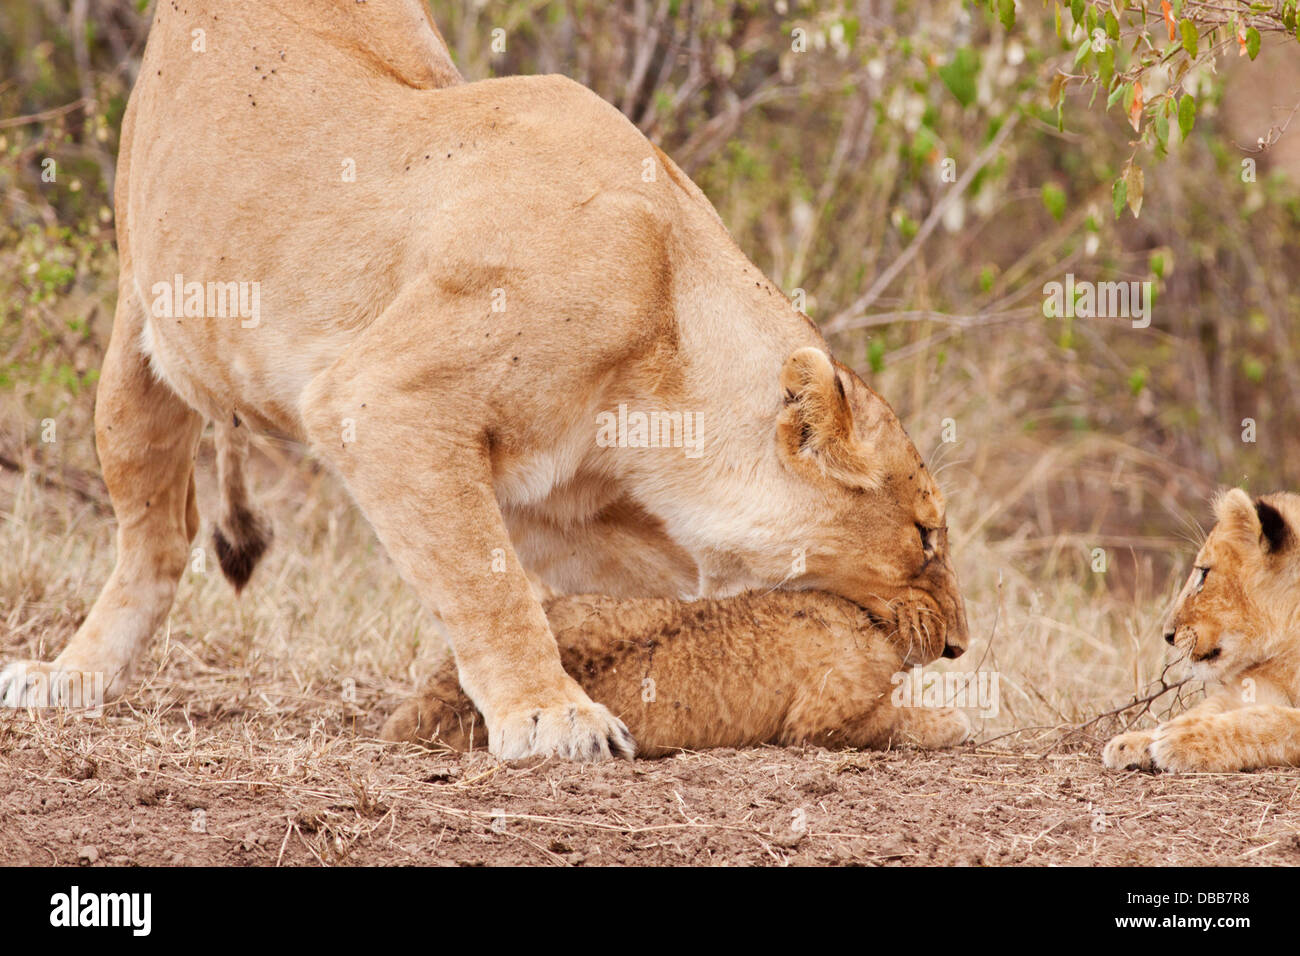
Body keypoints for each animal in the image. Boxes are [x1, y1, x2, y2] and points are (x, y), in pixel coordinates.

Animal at [1103, 489, 1300, 773]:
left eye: (1204, 573)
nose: (1168, 635)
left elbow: (1270, 720)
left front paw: (1182, 738)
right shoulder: (1263, 683)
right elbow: (1211, 707)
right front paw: (1137, 740)